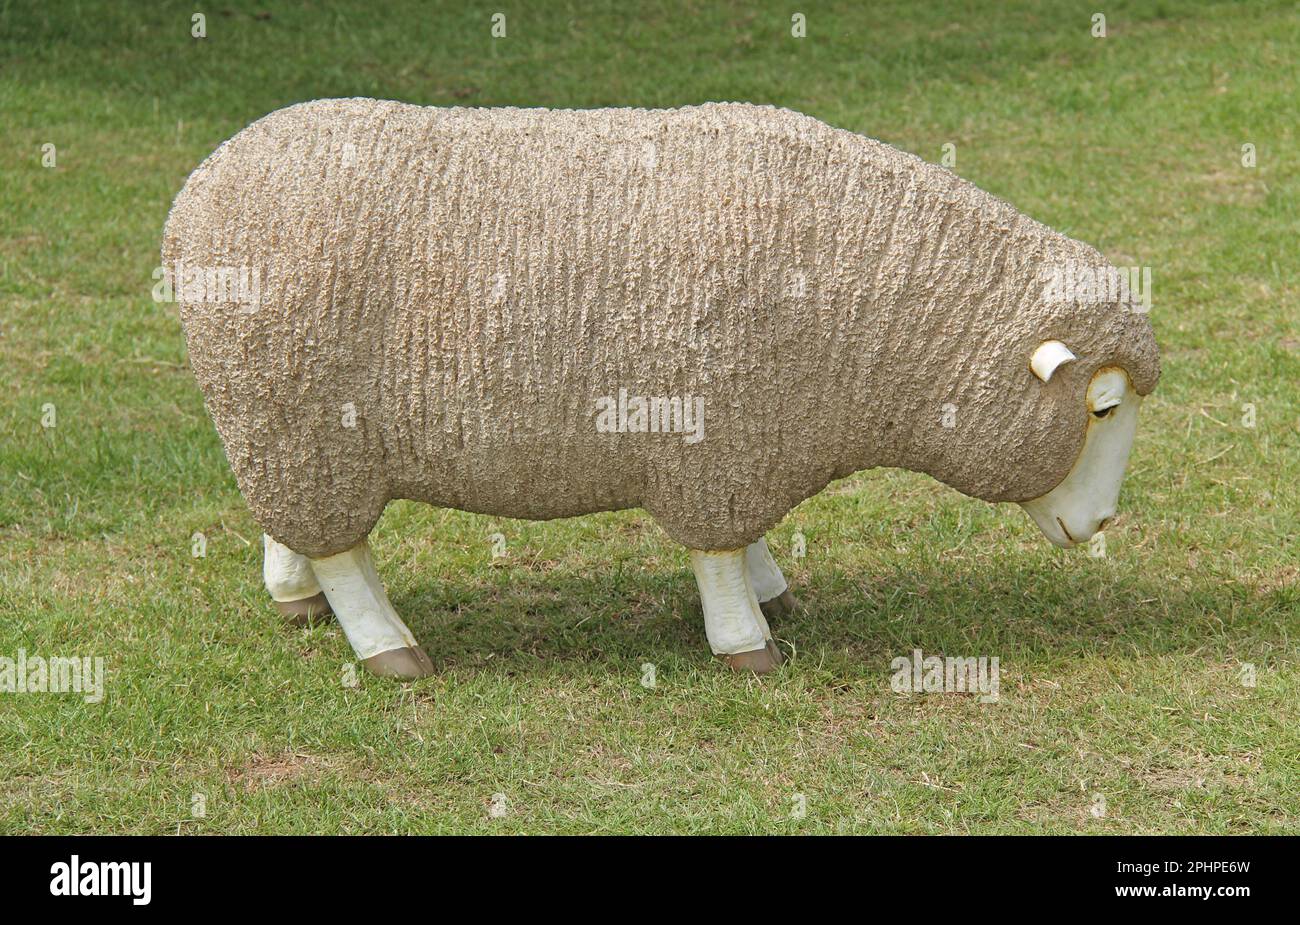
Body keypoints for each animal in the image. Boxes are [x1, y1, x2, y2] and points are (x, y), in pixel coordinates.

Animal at [162, 99, 1160, 678]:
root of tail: (201, 186)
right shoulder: (712, 437)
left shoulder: (749, 437)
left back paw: (294, 597)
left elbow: (745, 537)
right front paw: (746, 639)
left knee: (293, 522)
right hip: (298, 417)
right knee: (344, 550)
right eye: (1103, 407)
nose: (1104, 523)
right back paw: (389, 648)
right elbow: (716, 549)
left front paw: (770, 587)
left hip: (281, 408)